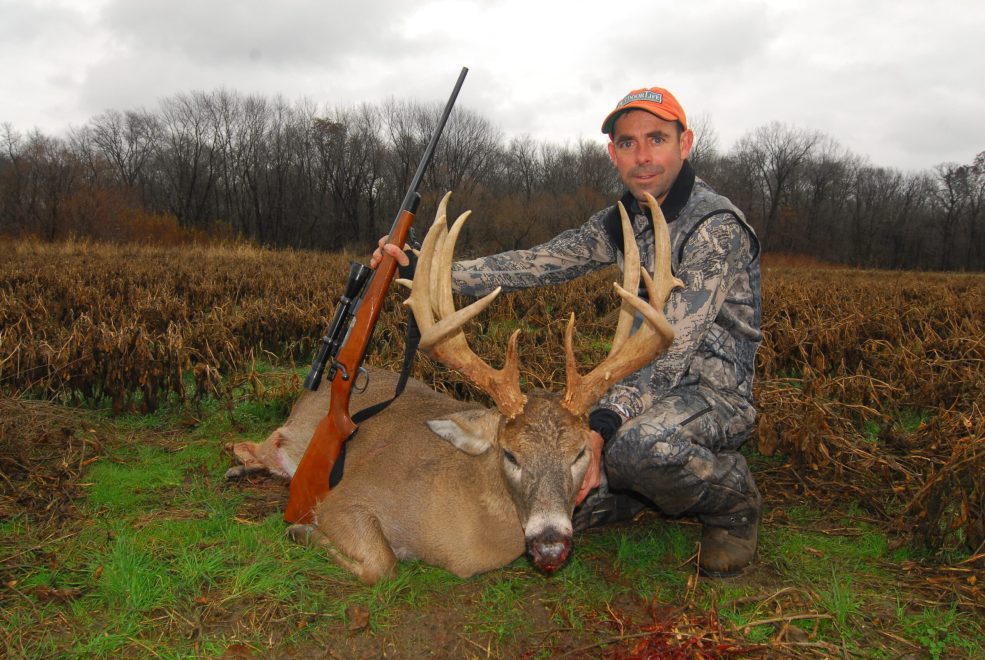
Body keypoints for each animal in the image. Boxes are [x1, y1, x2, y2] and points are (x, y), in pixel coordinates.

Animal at [227, 191, 681, 584]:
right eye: (510, 454)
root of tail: (312, 391)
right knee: (258, 444)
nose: (550, 546)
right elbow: (383, 563)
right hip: (291, 435)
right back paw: (238, 462)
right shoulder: (344, 497)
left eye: (581, 453)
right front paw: (301, 532)